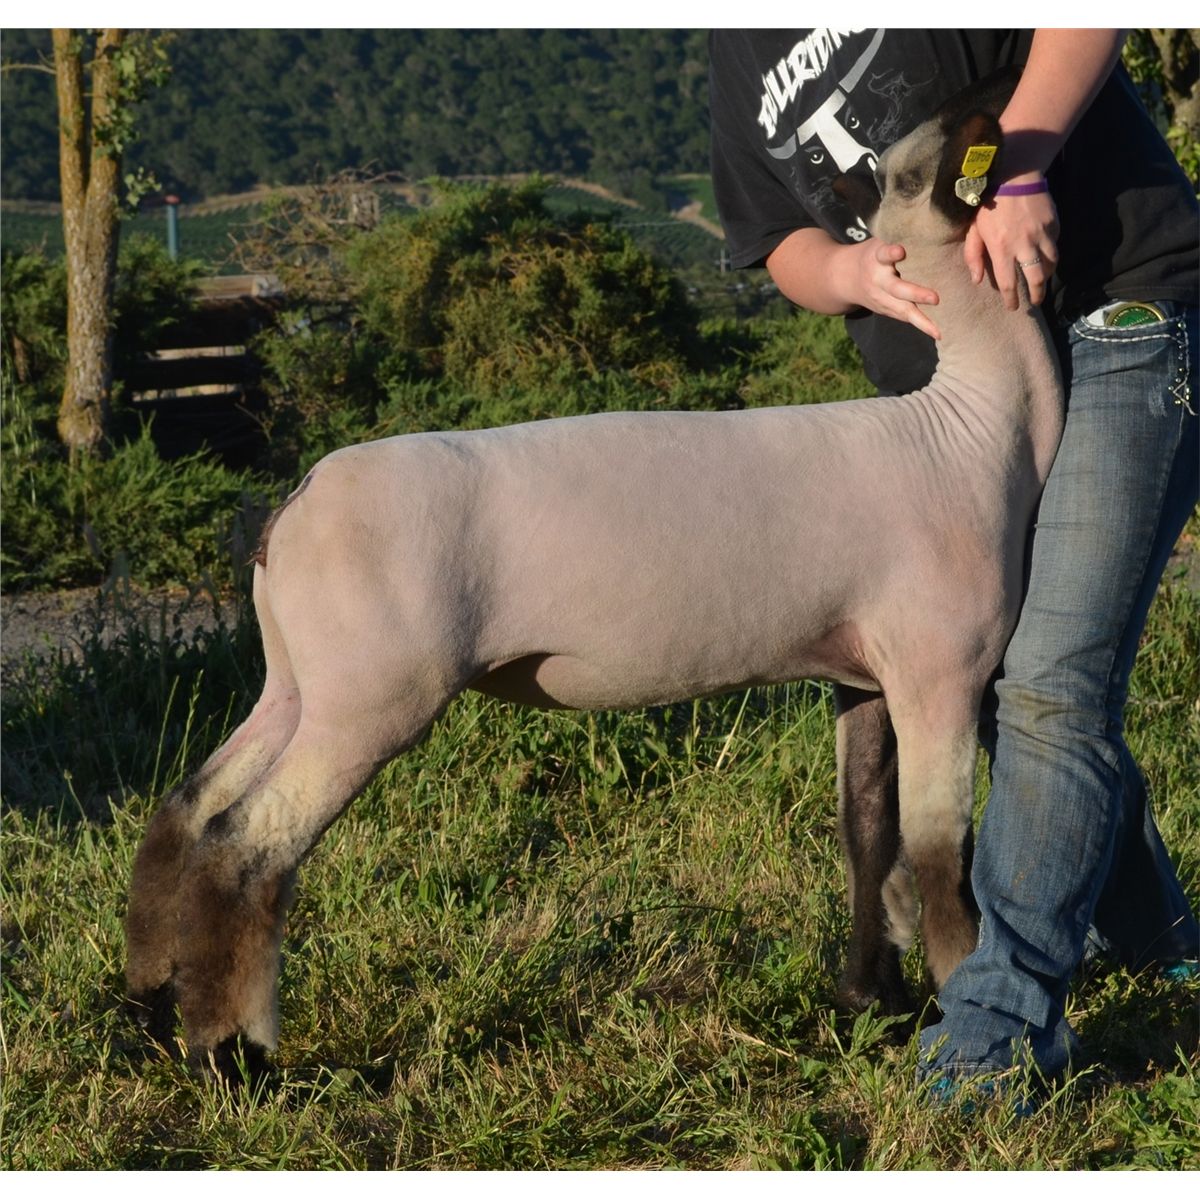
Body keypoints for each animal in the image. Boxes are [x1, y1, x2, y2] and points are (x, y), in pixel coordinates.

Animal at [125, 70, 1063, 1081]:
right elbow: (937, 850)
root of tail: (288, 512)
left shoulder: (861, 671)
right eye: (917, 168)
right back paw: (234, 1055)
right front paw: (962, 1005)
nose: (994, 99)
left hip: (302, 681)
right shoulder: (939, 666)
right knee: (246, 848)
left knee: (185, 811)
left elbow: (866, 831)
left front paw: (870, 1001)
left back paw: (144, 1008)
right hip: (372, 696)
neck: (973, 424)